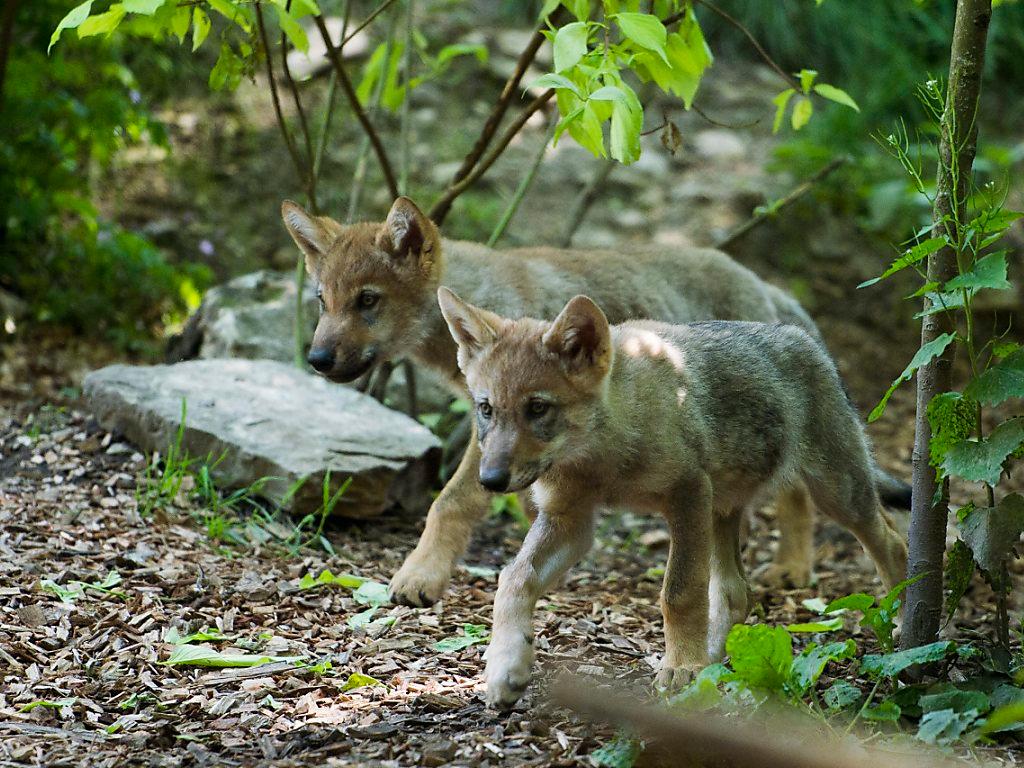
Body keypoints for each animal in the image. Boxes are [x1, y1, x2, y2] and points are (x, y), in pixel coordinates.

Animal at [280, 196, 909, 606]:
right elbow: (506, 501)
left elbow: (451, 501)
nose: (316, 360)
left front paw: (420, 577)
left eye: (367, 301)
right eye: (322, 301)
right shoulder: (498, 427)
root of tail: (766, 286)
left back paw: (793, 568)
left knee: (802, 494)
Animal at [435, 287, 909, 709]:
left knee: (895, 542)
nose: (489, 480)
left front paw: (681, 668)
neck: (603, 459)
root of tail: (807, 339)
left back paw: (905, 625)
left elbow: (678, 592)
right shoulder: (570, 521)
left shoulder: (686, 496)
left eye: (537, 408)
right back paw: (713, 659)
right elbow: (512, 580)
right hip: (723, 509)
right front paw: (504, 669)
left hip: (836, 495)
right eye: (486, 409)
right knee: (736, 592)